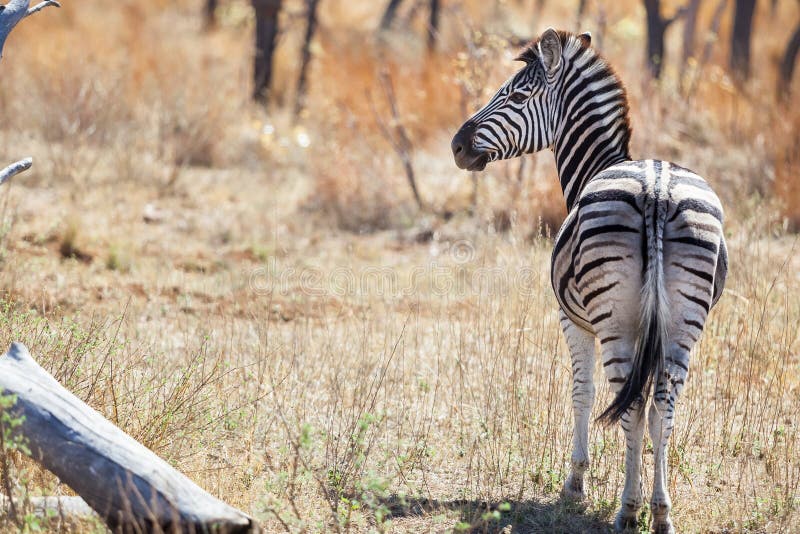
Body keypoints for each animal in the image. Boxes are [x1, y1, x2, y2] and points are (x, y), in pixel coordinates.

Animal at [451, 29, 727, 533]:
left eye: (515, 95)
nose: (457, 146)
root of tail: (656, 190)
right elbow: (649, 411)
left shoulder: (572, 320)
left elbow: (582, 391)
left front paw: (574, 483)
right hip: (684, 323)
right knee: (664, 407)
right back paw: (661, 512)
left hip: (614, 322)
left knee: (631, 406)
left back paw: (627, 510)